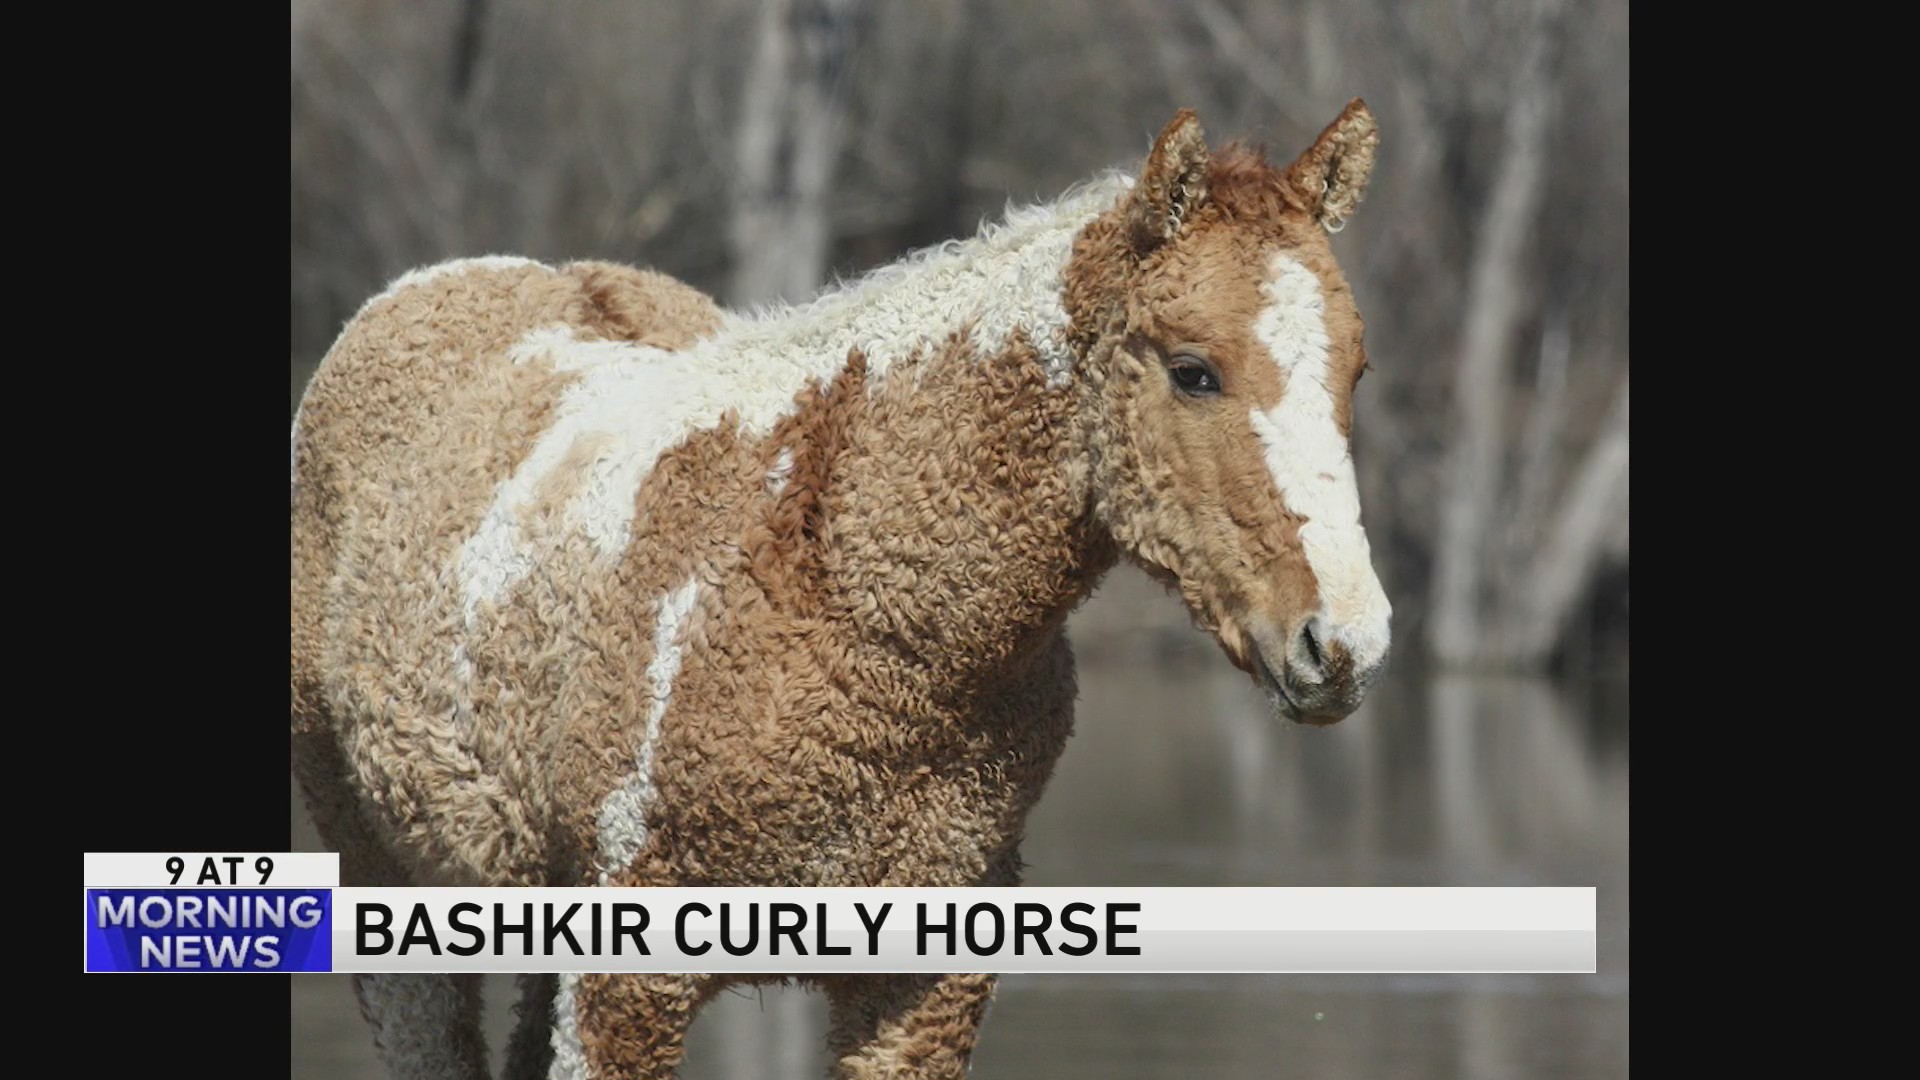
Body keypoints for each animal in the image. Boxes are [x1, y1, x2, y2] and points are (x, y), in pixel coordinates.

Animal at [291, 102, 1392, 1080]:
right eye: (1194, 370)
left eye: (1355, 372)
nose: (1343, 644)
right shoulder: (624, 983)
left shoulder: (920, 982)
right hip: (391, 882)